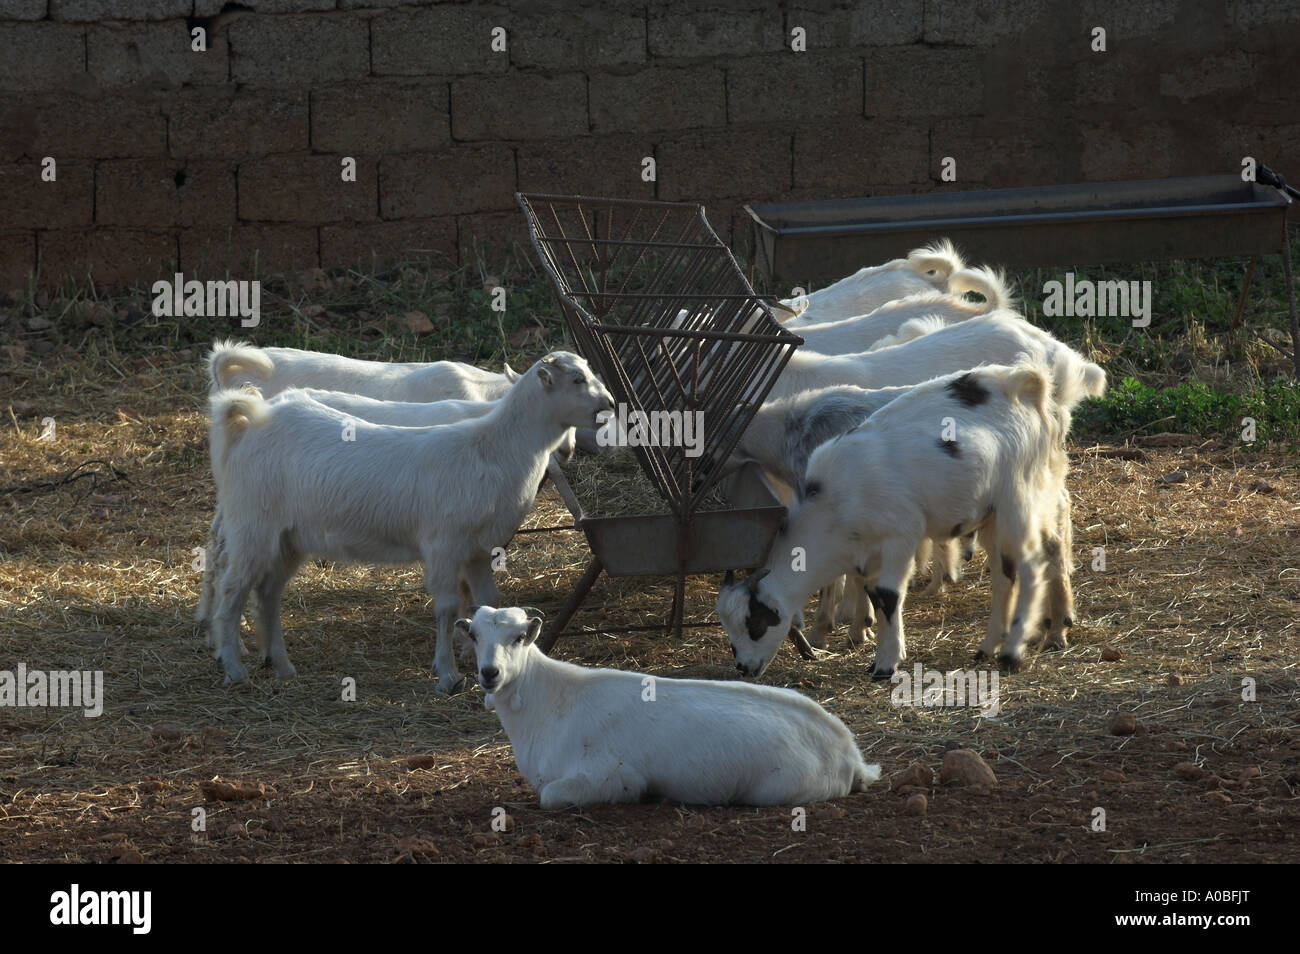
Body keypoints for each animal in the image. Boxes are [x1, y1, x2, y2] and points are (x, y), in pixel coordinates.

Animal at [459, 605, 880, 807]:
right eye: (474, 636)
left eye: (518, 638)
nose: (490, 673)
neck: (550, 699)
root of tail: (849, 753)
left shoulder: (610, 777)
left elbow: (551, 797)